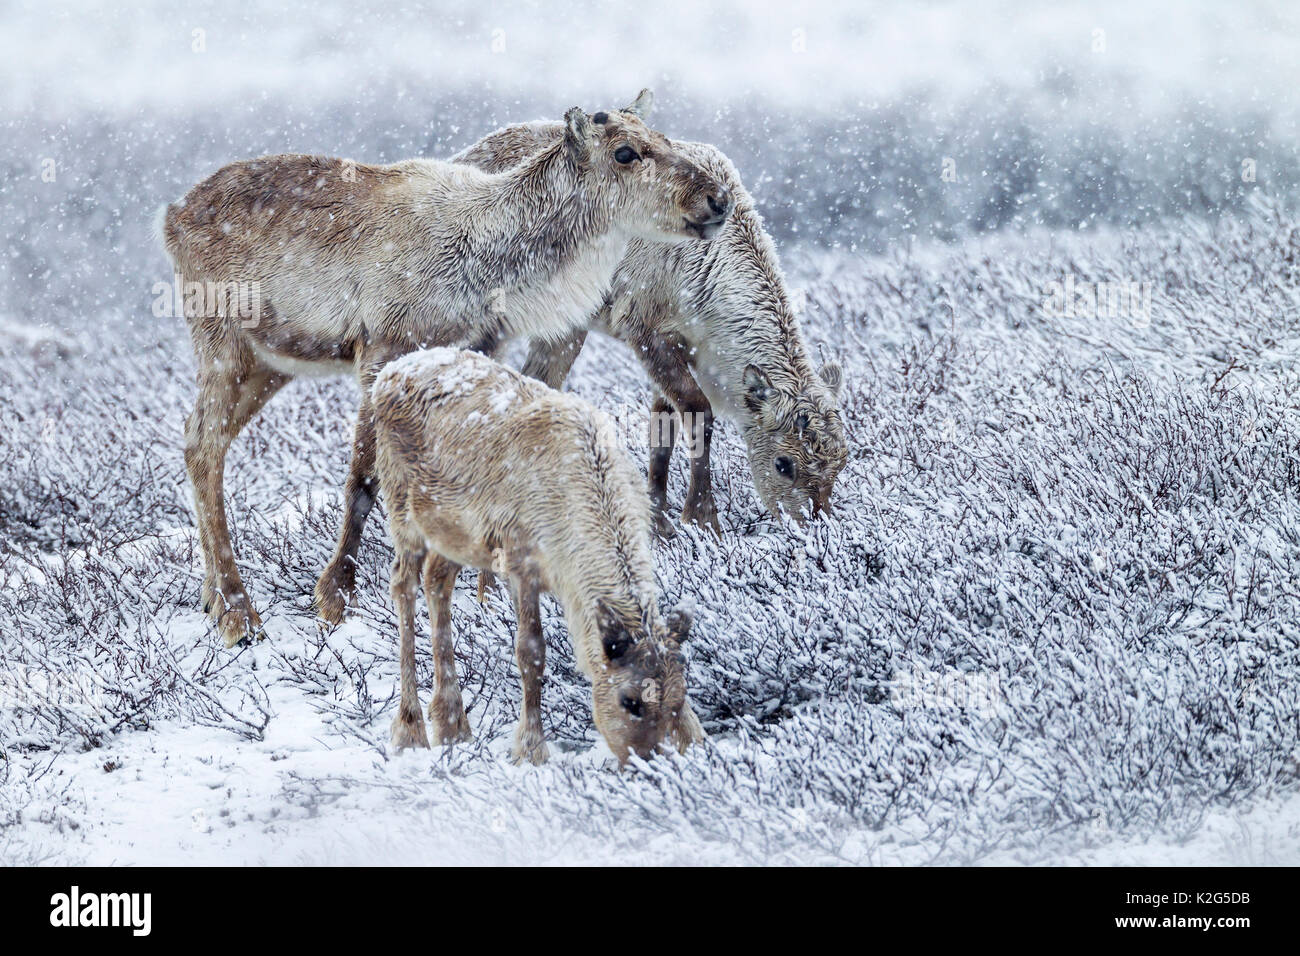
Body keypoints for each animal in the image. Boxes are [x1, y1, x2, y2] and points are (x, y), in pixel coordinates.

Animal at [160, 91, 734, 647]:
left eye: (662, 136)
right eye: (625, 152)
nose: (718, 198)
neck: (487, 260)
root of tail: (169, 217)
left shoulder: (478, 350)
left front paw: (480, 590)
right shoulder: (382, 348)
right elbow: (363, 480)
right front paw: (334, 597)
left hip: (270, 363)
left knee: (201, 442)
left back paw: (214, 598)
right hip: (223, 342)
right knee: (203, 444)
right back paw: (238, 612)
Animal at [373, 347, 704, 765]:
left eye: (677, 701)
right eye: (630, 701)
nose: (650, 762)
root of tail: (389, 372)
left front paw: (696, 739)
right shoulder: (520, 562)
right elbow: (531, 653)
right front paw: (531, 748)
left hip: (455, 533)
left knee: (438, 581)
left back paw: (452, 723)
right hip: (402, 507)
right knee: (403, 585)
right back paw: (411, 728)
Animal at [451, 123, 848, 536]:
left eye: (842, 462)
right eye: (784, 464)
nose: (816, 527)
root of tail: (462, 156)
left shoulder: (682, 344)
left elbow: (662, 429)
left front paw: (658, 520)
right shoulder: (646, 327)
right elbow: (698, 412)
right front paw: (701, 518)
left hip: (566, 328)